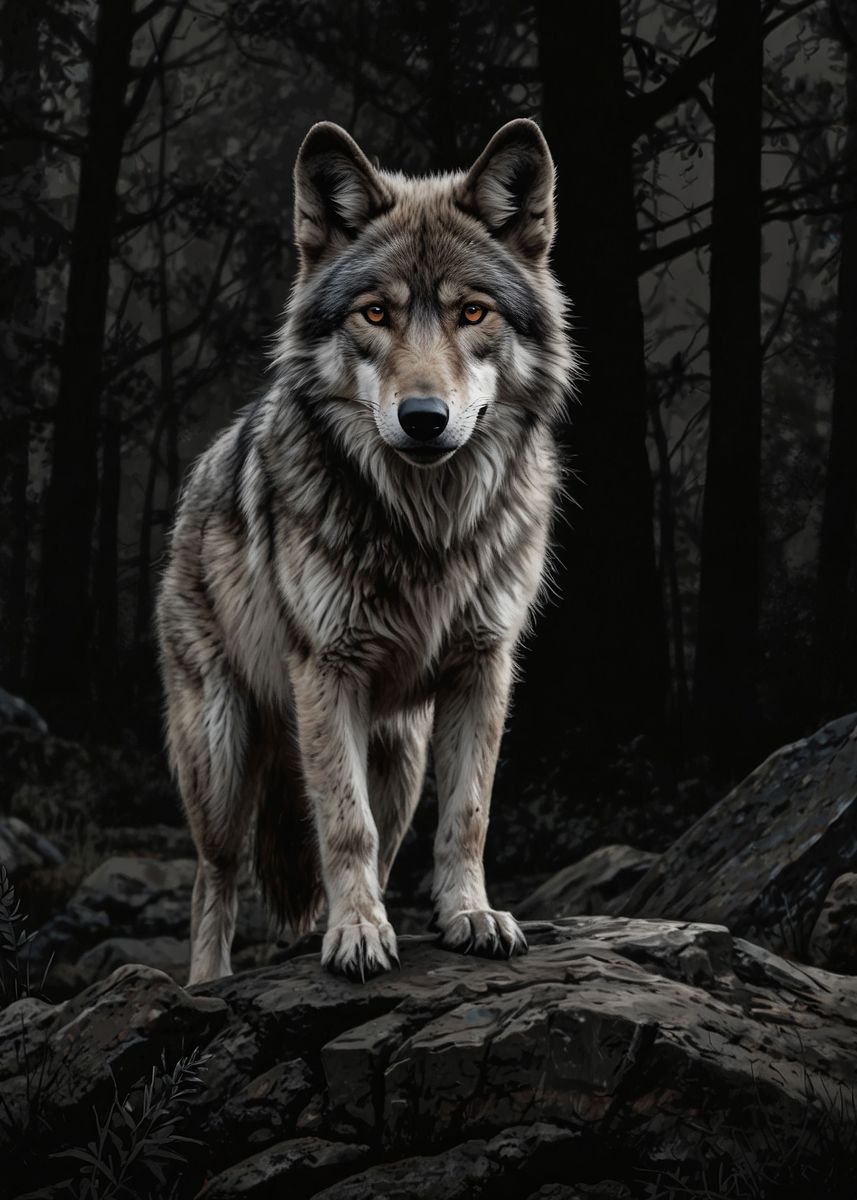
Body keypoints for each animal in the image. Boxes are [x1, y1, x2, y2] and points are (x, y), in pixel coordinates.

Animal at [156, 118, 574, 984]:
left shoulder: (482, 667)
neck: (427, 527)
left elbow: (467, 814)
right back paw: (210, 984)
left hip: (401, 757)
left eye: (472, 312)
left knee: (378, 844)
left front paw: (469, 915)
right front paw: (353, 934)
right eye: (375, 313)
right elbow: (343, 825)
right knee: (215, 877)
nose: (423, 417)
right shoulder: (327, 671)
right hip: (220, 751)